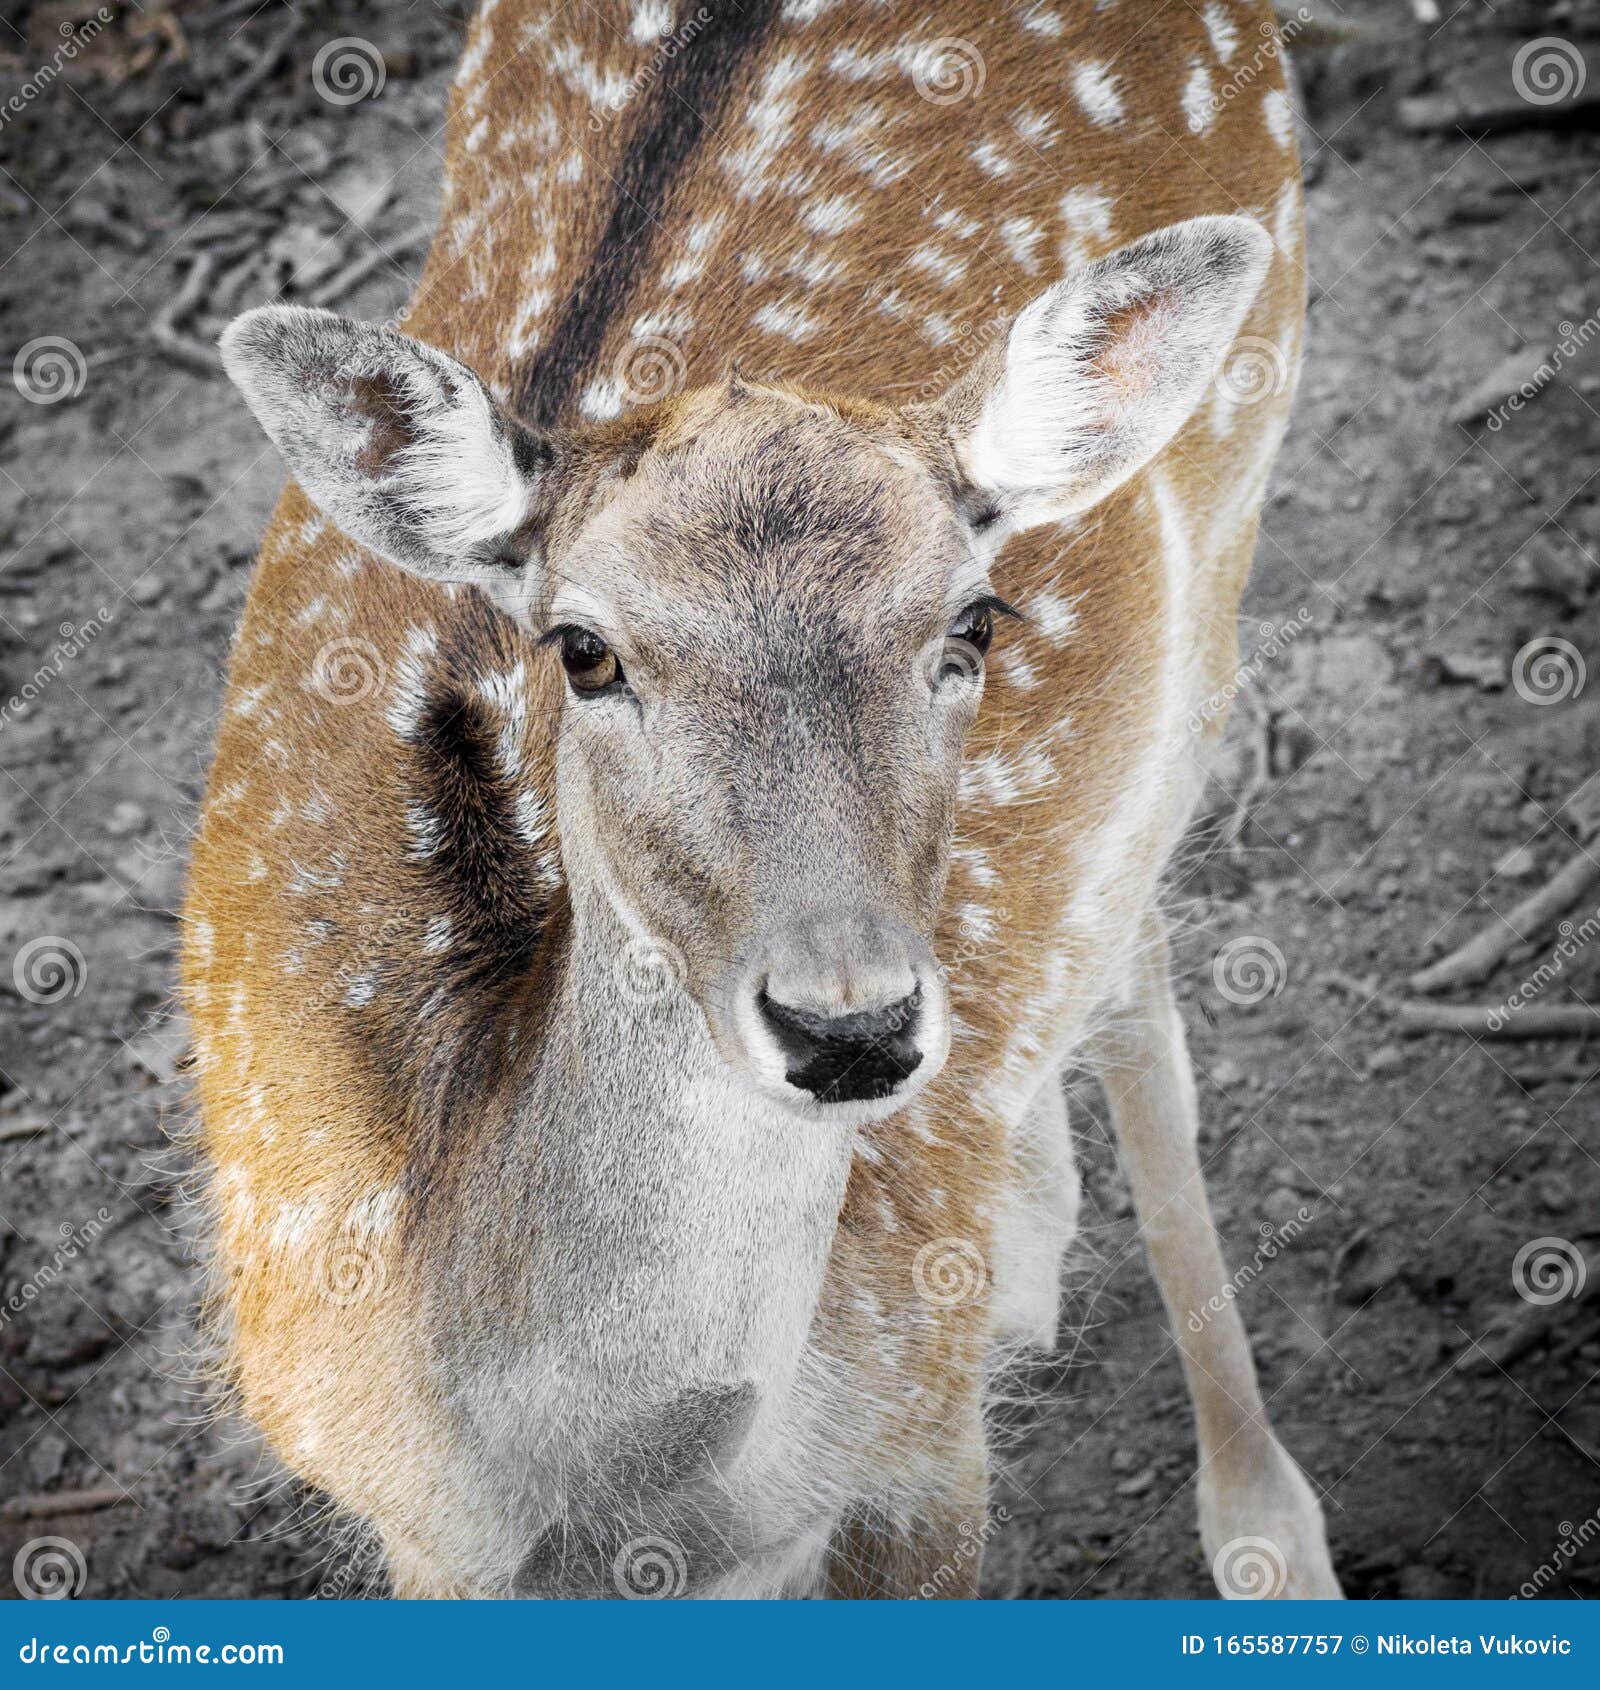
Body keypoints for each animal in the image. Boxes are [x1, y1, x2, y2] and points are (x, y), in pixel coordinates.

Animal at [184, 0, 1341, 1600]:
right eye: (582, 648)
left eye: (972, 624)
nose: (848, 1024)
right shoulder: (416, 1540)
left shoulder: (925, 1460)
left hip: (1233, 514)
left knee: (1141, 943)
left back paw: (1260, 1522)